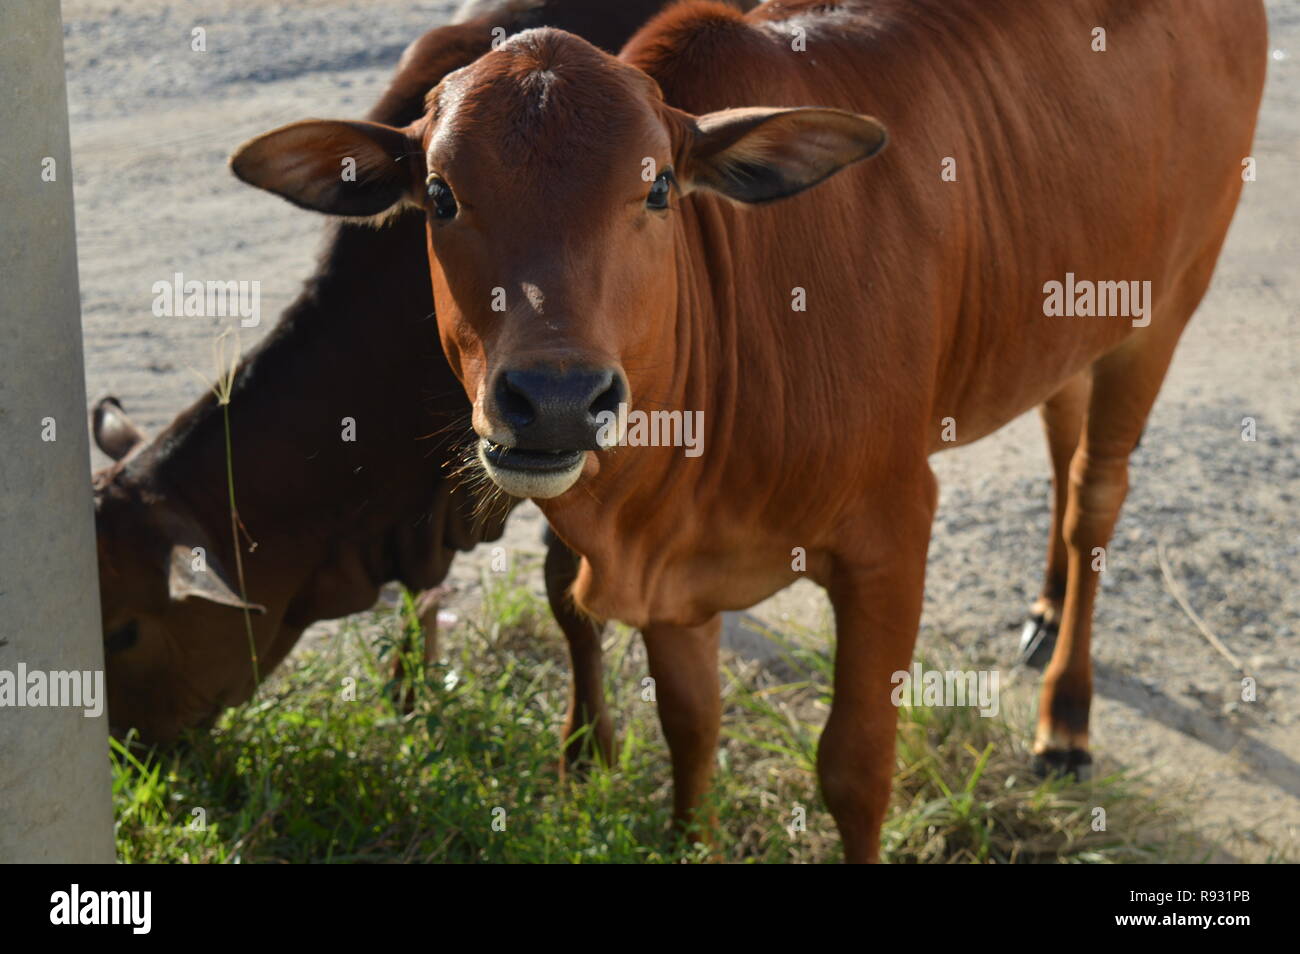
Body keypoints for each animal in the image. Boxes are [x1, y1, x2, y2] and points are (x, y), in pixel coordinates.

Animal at [91, 0, 690, 751]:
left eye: (124, 632)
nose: (129, 753)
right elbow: (423, 594)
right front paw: (410, 697)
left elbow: (567, 586)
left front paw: (588, 748)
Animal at [230, 0, 1268, 861]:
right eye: (440, 193)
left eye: (657, 191)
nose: (556, 398)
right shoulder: (670, 578)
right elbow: (692, 730)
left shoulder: (893, 531)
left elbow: (856, 767)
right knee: (1061, 429)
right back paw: (1047, 606)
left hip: (1169, 298)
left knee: (1098, 490)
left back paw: (1068, 712)